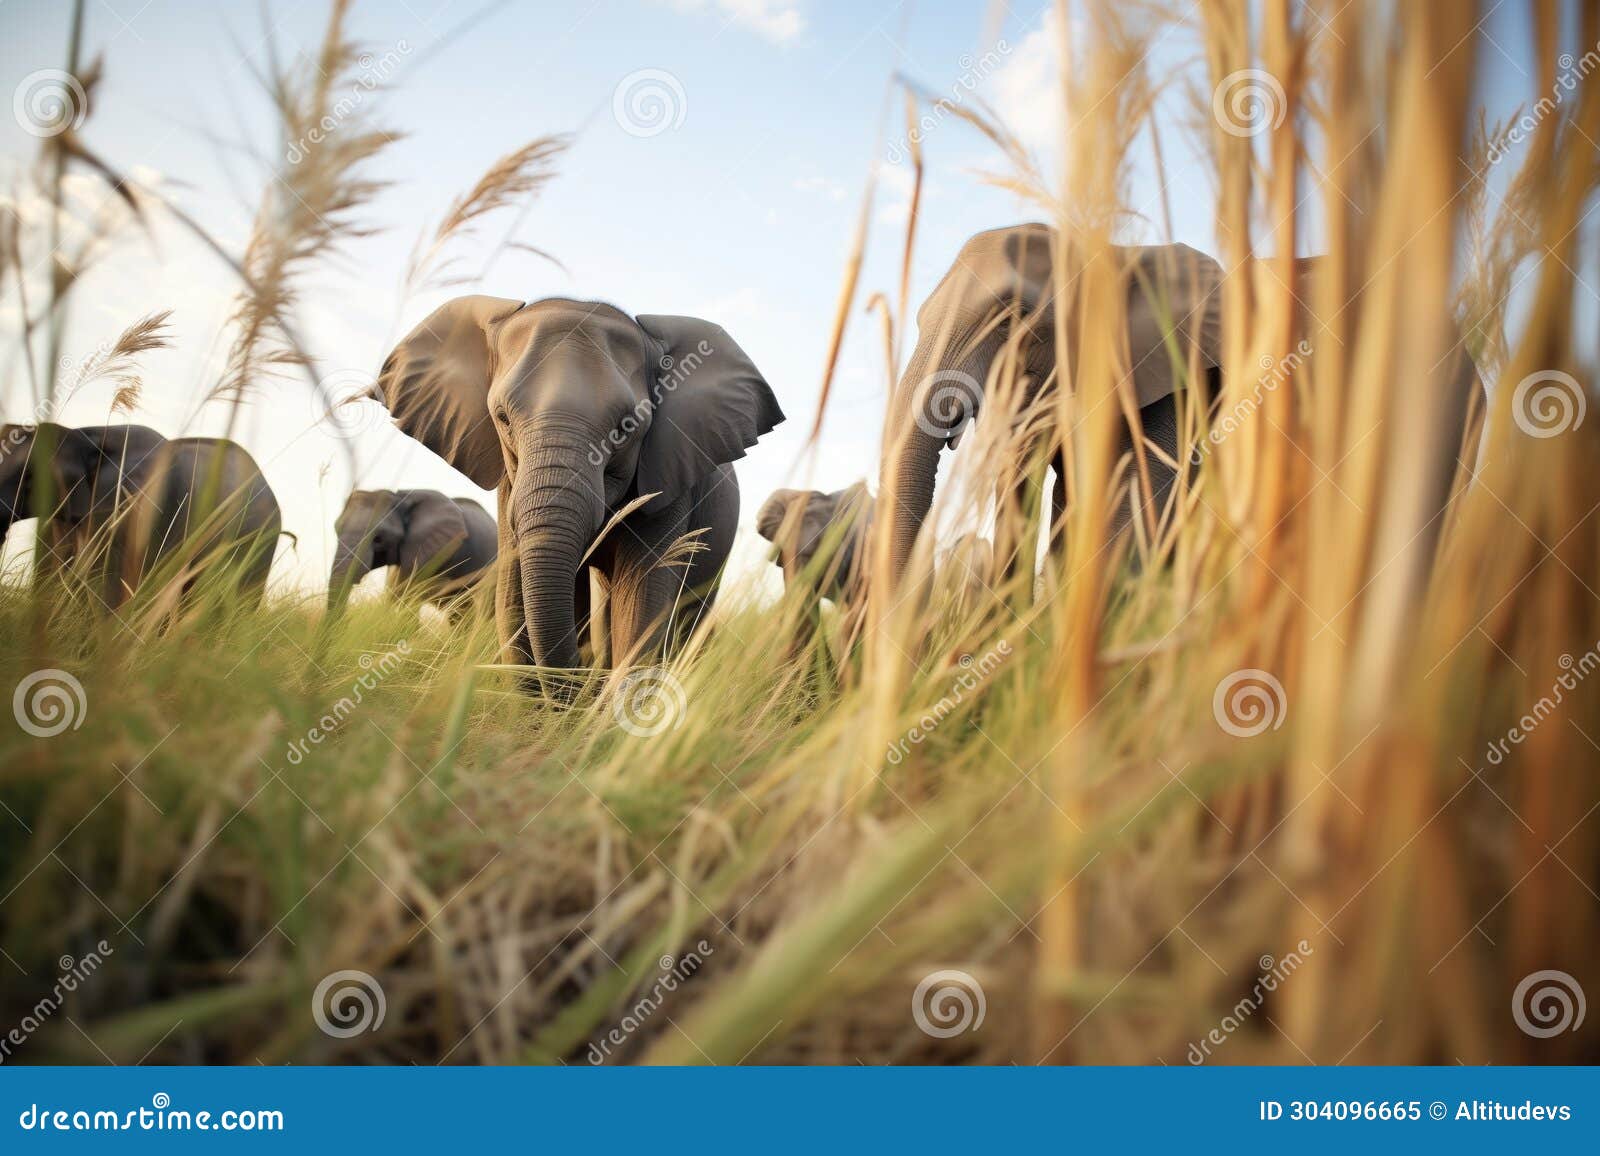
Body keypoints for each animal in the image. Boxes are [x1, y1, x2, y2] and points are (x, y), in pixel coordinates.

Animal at [369, 295, 785, 675]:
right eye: (502, 418)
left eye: (627, 428)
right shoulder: (508, 482)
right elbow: (522, 599)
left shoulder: (668, 474)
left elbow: (640, 603)